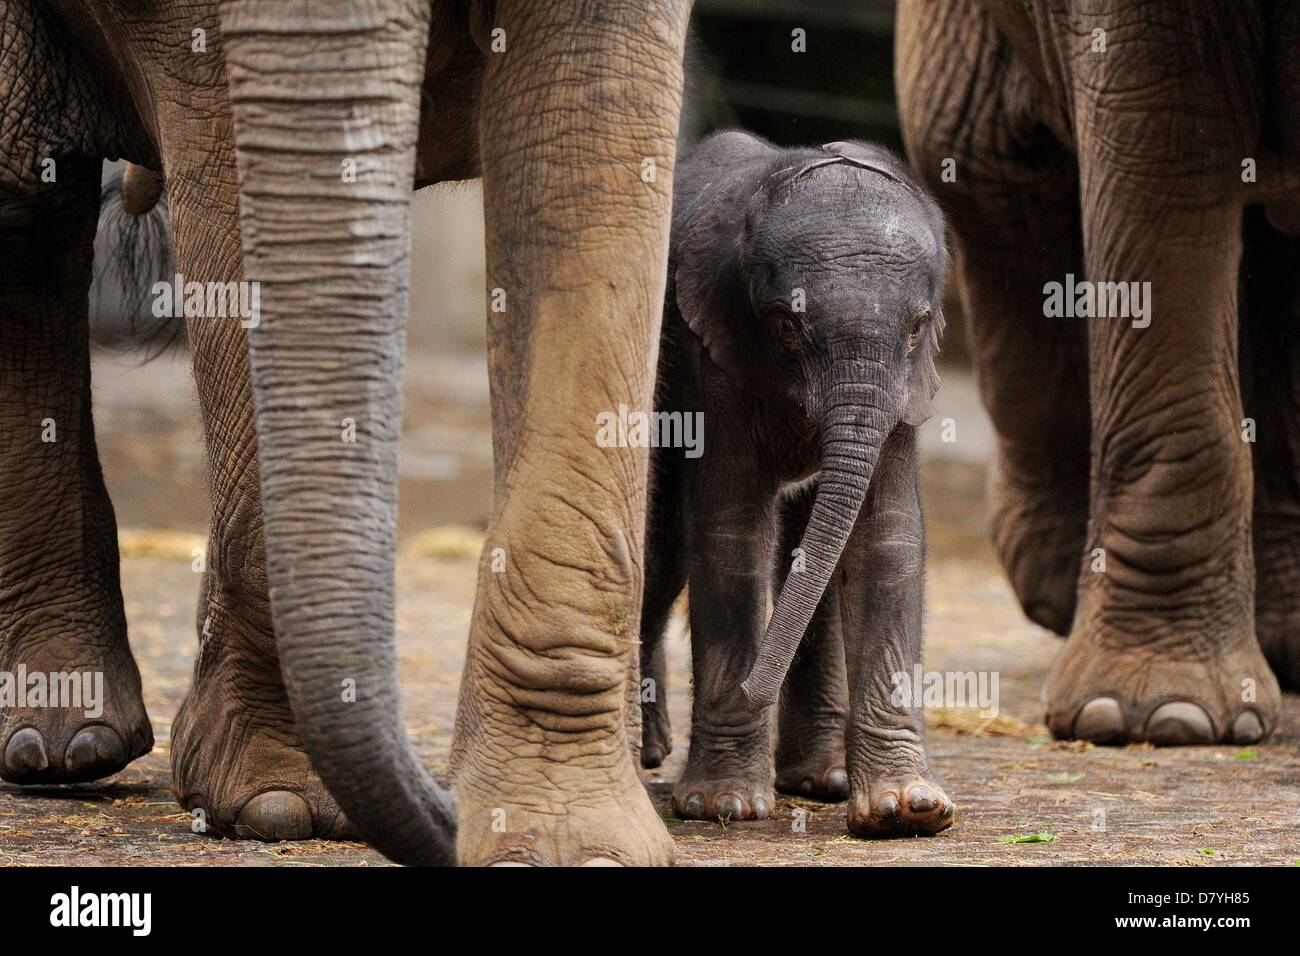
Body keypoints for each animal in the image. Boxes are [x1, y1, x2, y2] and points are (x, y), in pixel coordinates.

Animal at [1, 0, 690, 866]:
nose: (446, 816)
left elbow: (588, 166)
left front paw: (566, 840)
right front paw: (276, 805)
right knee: (27, 210)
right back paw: (62, 747)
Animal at [638, 131, 955, 838]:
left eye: (917, 328)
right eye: (786, 325)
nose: (757, 685)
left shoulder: (908, 383)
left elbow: (886, 540)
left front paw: (907, 811)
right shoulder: (712, 353)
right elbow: (730, 529)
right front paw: (721, 806)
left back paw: (821, 781)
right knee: (662, 546)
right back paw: (647, 753)